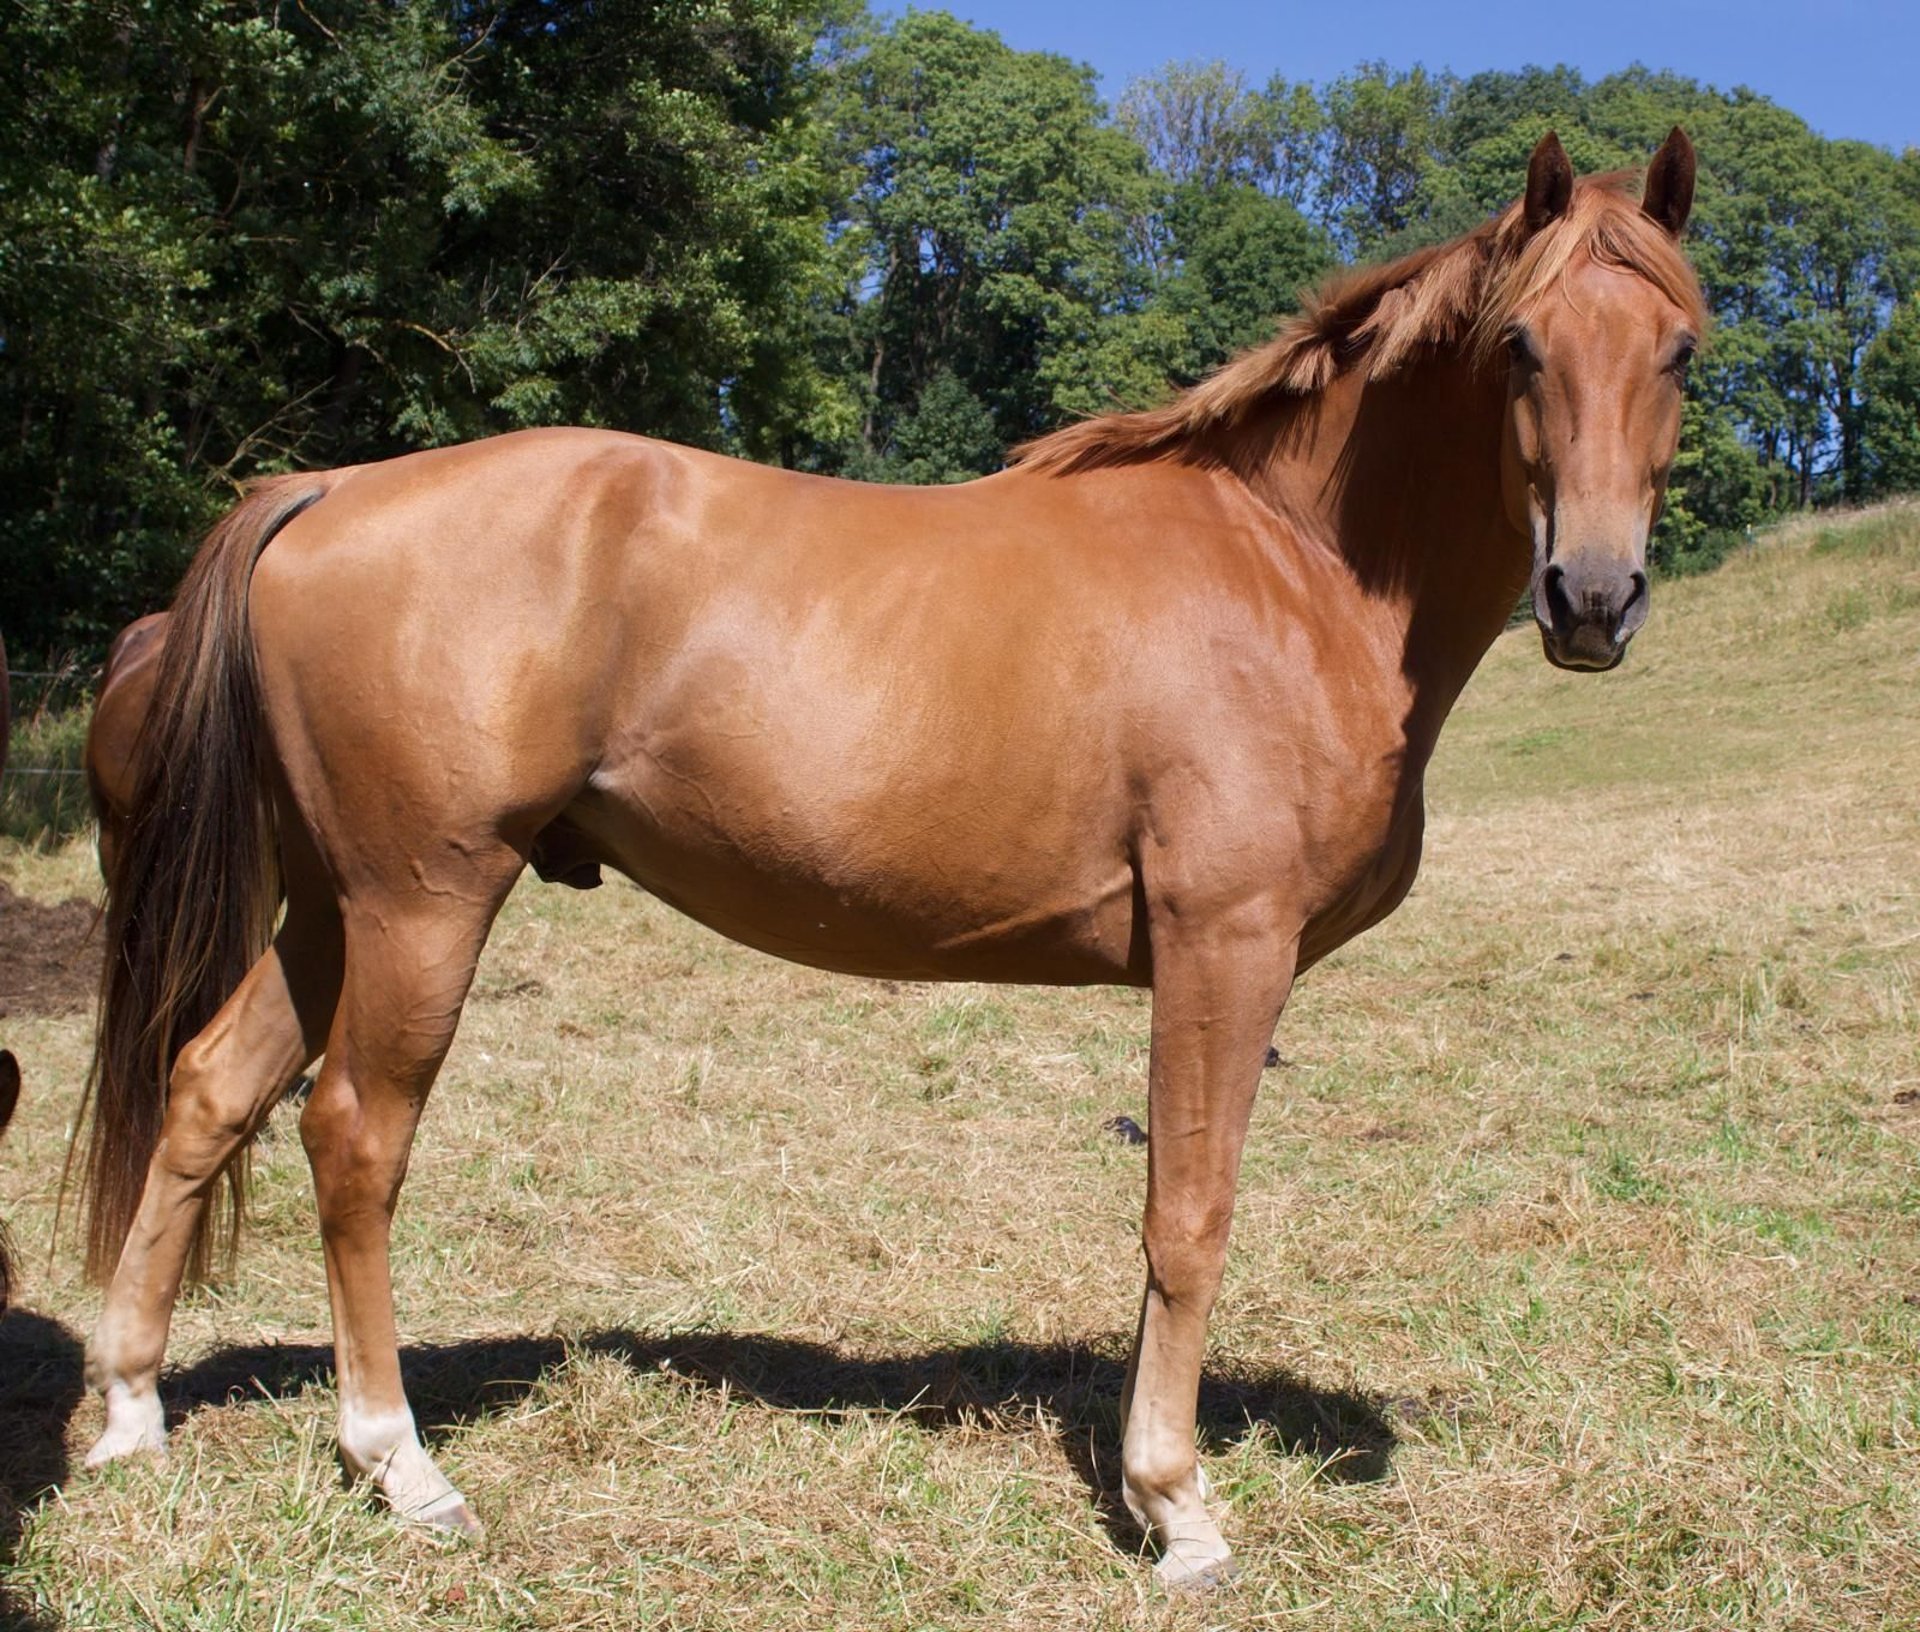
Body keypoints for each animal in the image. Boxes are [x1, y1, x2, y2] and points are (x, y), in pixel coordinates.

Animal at [76, 131, 1703, 1589]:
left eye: (1681, 349)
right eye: (1519, 345)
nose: (1593, 597)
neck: (1289, 565)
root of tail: (332, 488)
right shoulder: (1223, 945)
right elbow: (1190, 1215)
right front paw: (1173, 1507)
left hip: (331, 906)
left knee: (208, 1089)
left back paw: (134, 1409)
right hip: (422, 902)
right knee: (354, 1136)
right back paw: (399, 1465)